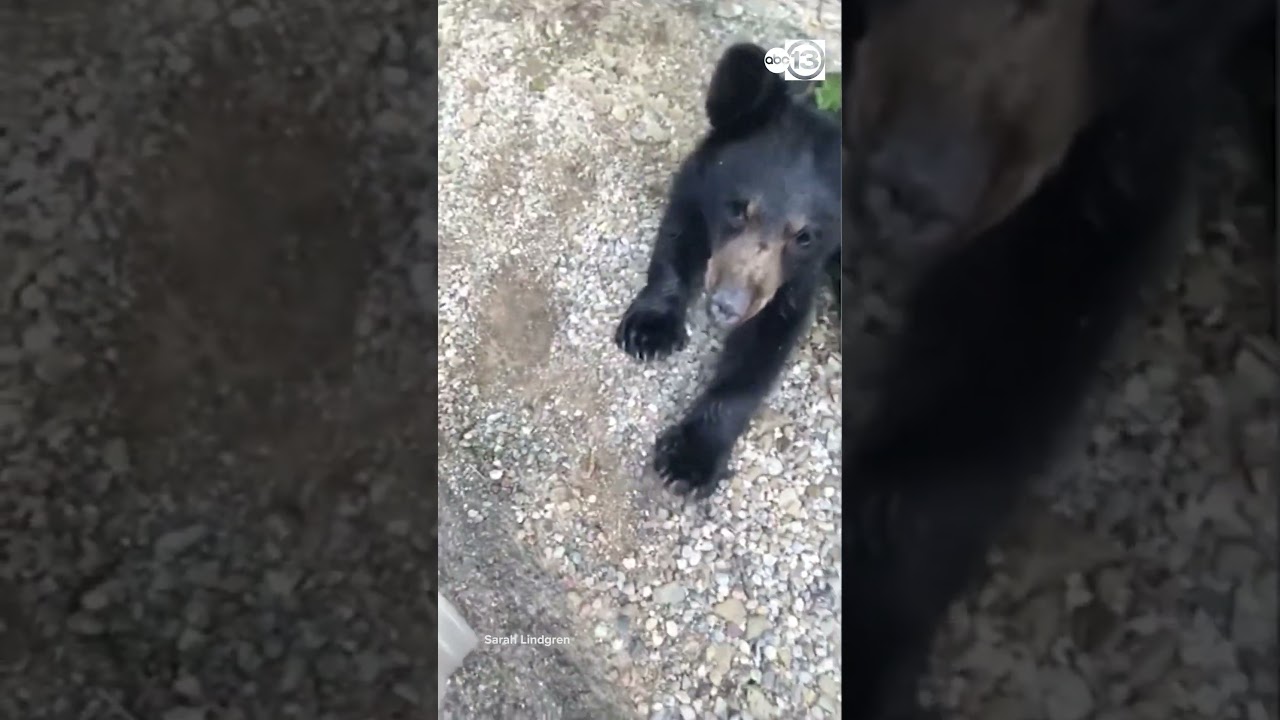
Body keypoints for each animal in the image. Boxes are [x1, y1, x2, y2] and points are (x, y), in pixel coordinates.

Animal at [614, 42, 841, 498]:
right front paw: (648, 330)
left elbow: (762, 348)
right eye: (737, 208)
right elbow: (677, 238)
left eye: (804, 236)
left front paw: (688, 458)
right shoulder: (698, 185)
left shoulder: (795, 279)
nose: (726, 306)